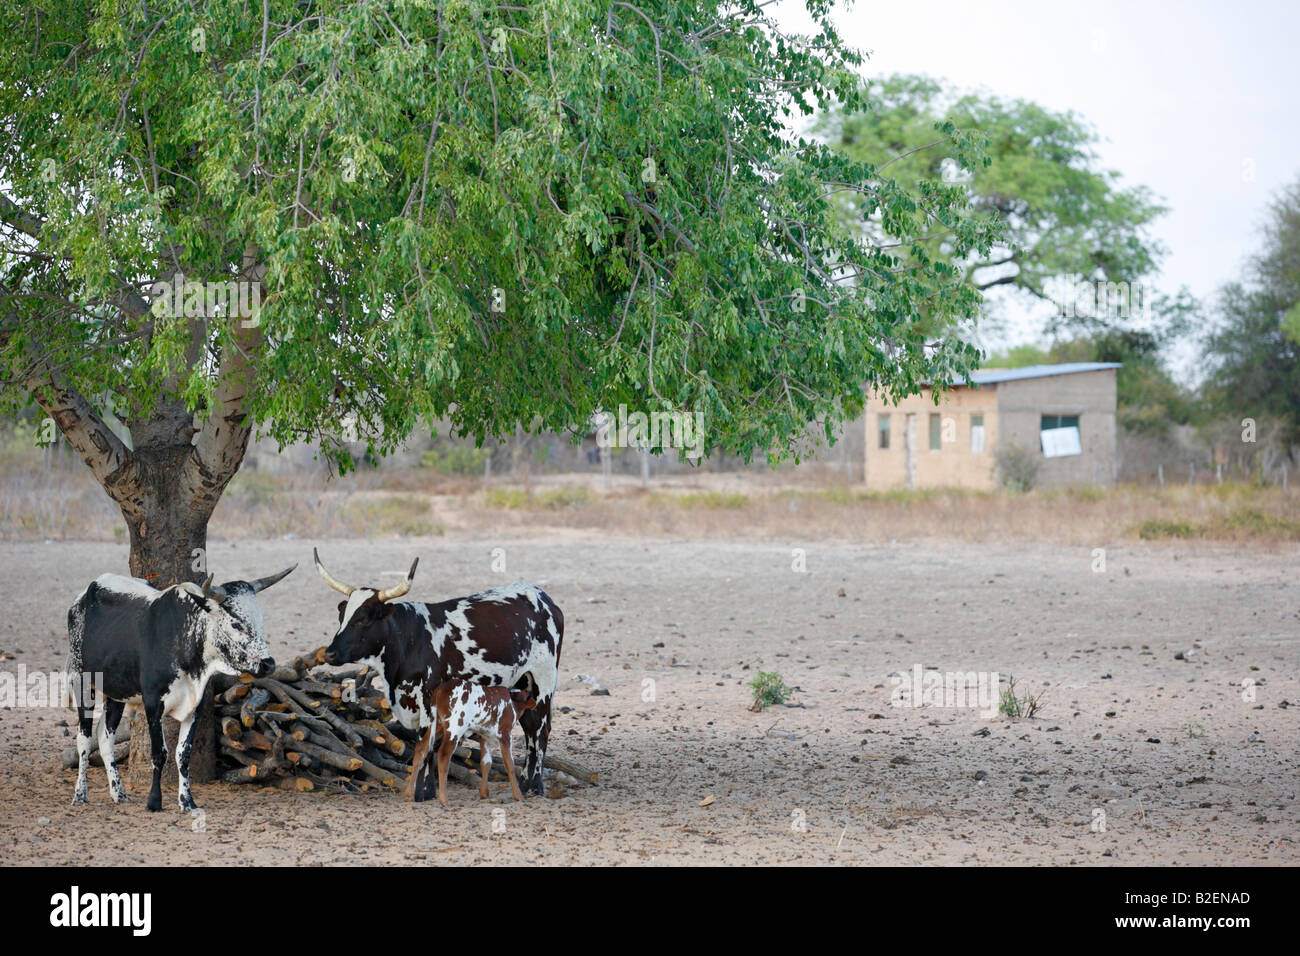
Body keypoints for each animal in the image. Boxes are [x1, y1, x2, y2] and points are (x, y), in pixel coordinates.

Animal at [65, 567, 295, 816]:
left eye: (260, 621)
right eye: (236, 624)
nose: (268, 664)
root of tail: (84, 595)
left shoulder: (196, 706)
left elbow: (183, 754)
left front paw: (187, 801)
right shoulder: (153, 703)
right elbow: (159, 753)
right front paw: (154, 801)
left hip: (117, 692)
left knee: (106, 737)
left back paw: (119, 793)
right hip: (81, 681)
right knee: (84, 739)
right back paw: (80, 794)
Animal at [314, 548, 564, 796]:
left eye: (363, 619)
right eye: (341, 617)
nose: (330, 654)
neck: (409, 639)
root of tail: (542, 597)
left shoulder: (428, 700)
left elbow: (426, 744)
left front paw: (422, 793)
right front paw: (428, 790)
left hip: (544, 680)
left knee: (541, 732)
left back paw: (537, 786)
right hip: (522, 683)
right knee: (530, 728)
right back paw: (524, 784)